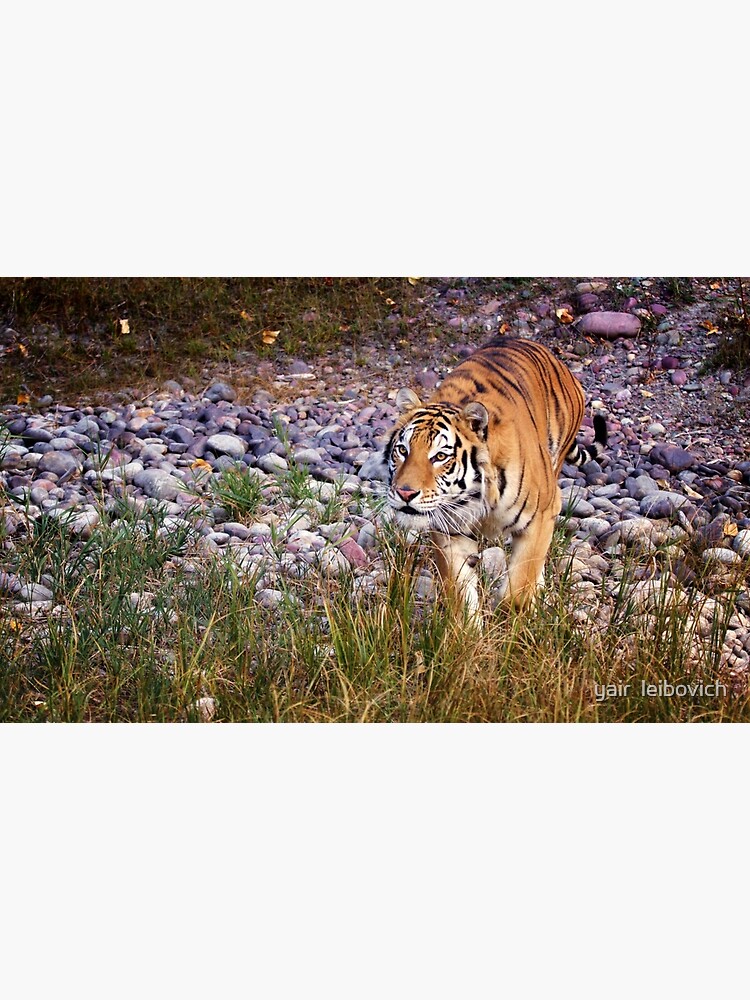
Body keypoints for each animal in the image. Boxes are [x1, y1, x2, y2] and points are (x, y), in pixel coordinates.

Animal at [380, 336, 607, 619]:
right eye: (403, 450)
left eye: (440, 456)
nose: (405, 493)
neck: (474, 498)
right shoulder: (449, 533)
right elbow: (460, 595)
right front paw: (468, 629)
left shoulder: (542, 515)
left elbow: (519, 588)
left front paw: (511, 621)